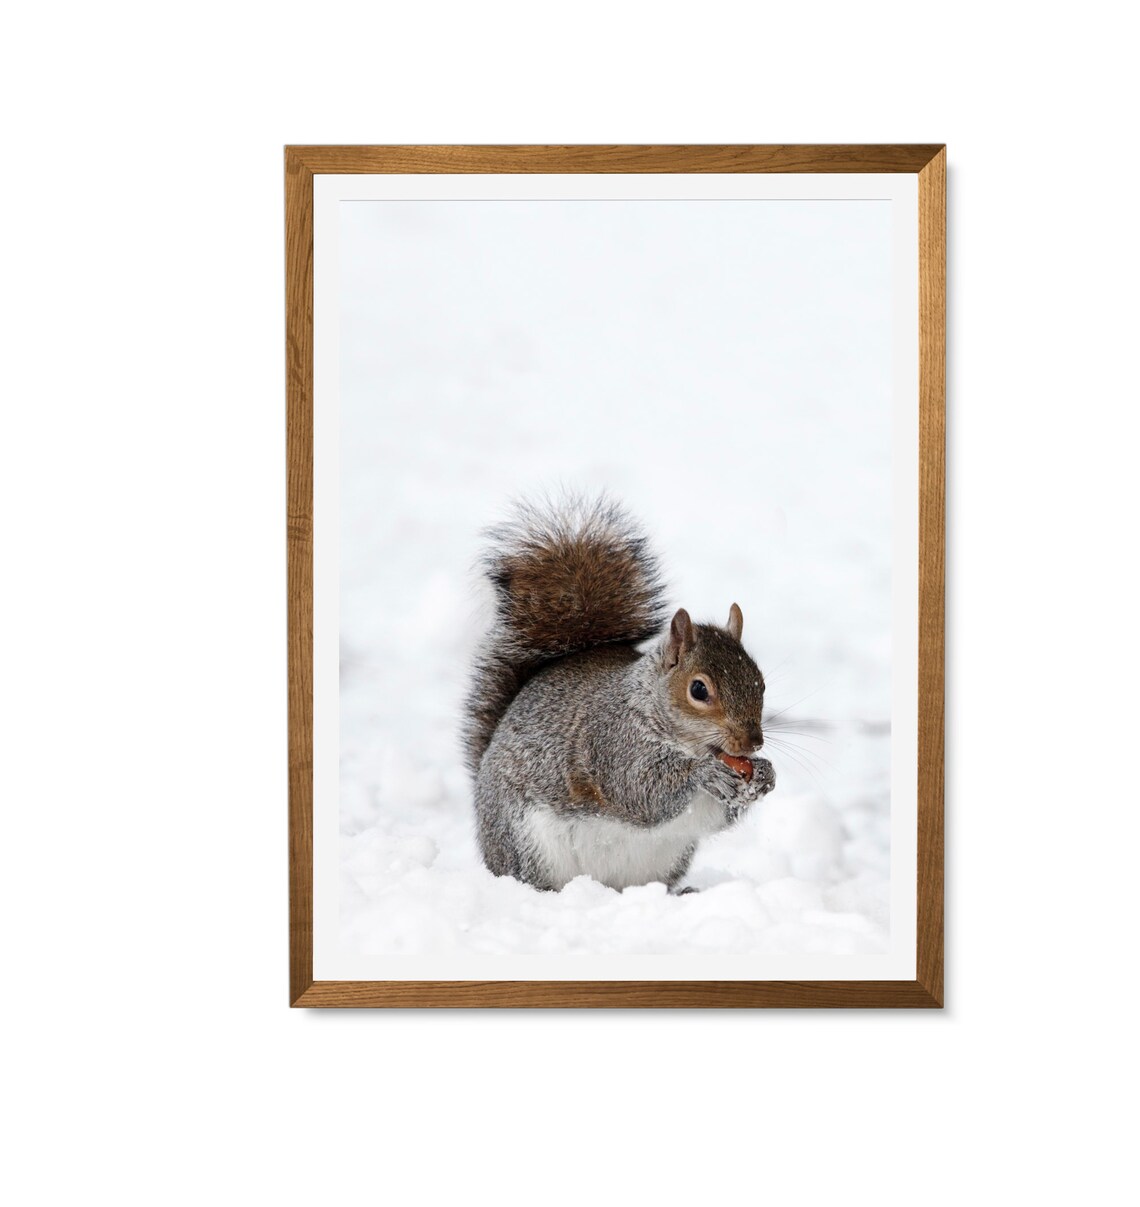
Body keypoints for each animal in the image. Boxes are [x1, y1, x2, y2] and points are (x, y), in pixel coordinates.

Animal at [463, 495, 776, 893]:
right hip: (526, 843)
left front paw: (765, 774)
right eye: (699, 689)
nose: (753, 743)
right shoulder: (612, 742)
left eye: (761, 682)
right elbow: (640, 790)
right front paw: (704, 773)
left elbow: (718, 815)